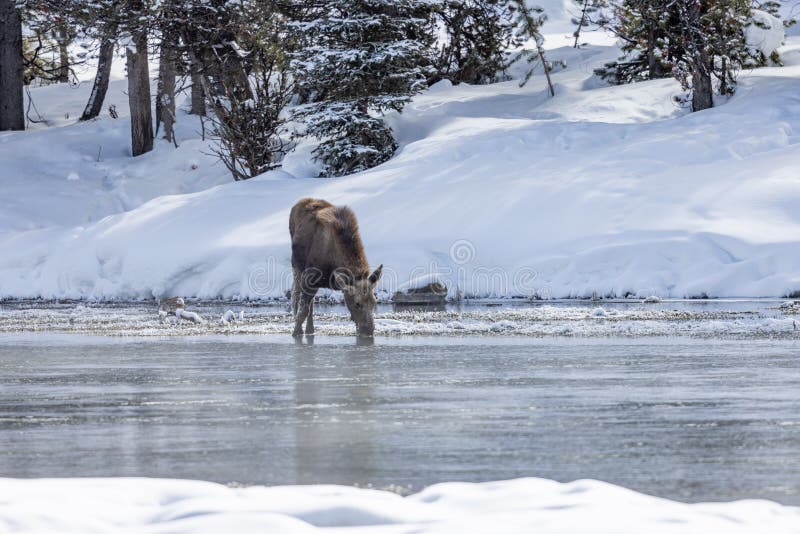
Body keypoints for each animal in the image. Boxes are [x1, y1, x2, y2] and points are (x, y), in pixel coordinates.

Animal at [289, 198, 383, 337]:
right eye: (357, 303)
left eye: (375, 301)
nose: (368, 331)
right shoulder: (309, 278)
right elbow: (303, 311)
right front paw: (296, 332)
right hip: (297, 268)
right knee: (295, 296)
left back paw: (310, 330)